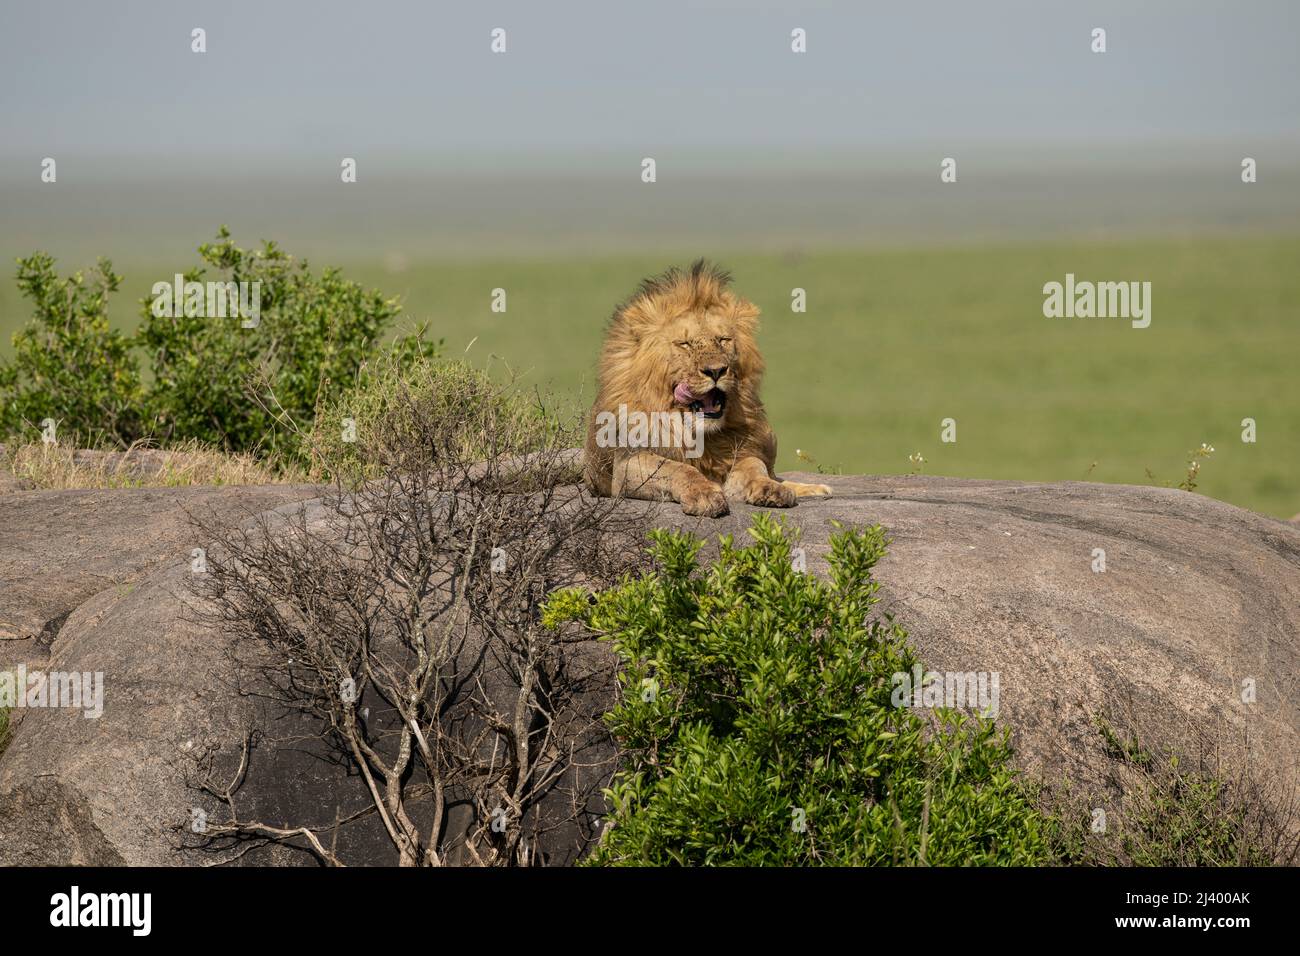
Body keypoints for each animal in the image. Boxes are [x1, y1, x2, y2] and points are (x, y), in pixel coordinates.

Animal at [584, 260, 832, 517]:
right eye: (684, 344)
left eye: (723, 340)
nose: (715, 371)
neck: (699, 432)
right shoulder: (627, 462)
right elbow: (677, 468)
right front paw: (703, 494)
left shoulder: (742, 452)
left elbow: (755, 467)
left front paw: (770, 489)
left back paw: (816, 489)